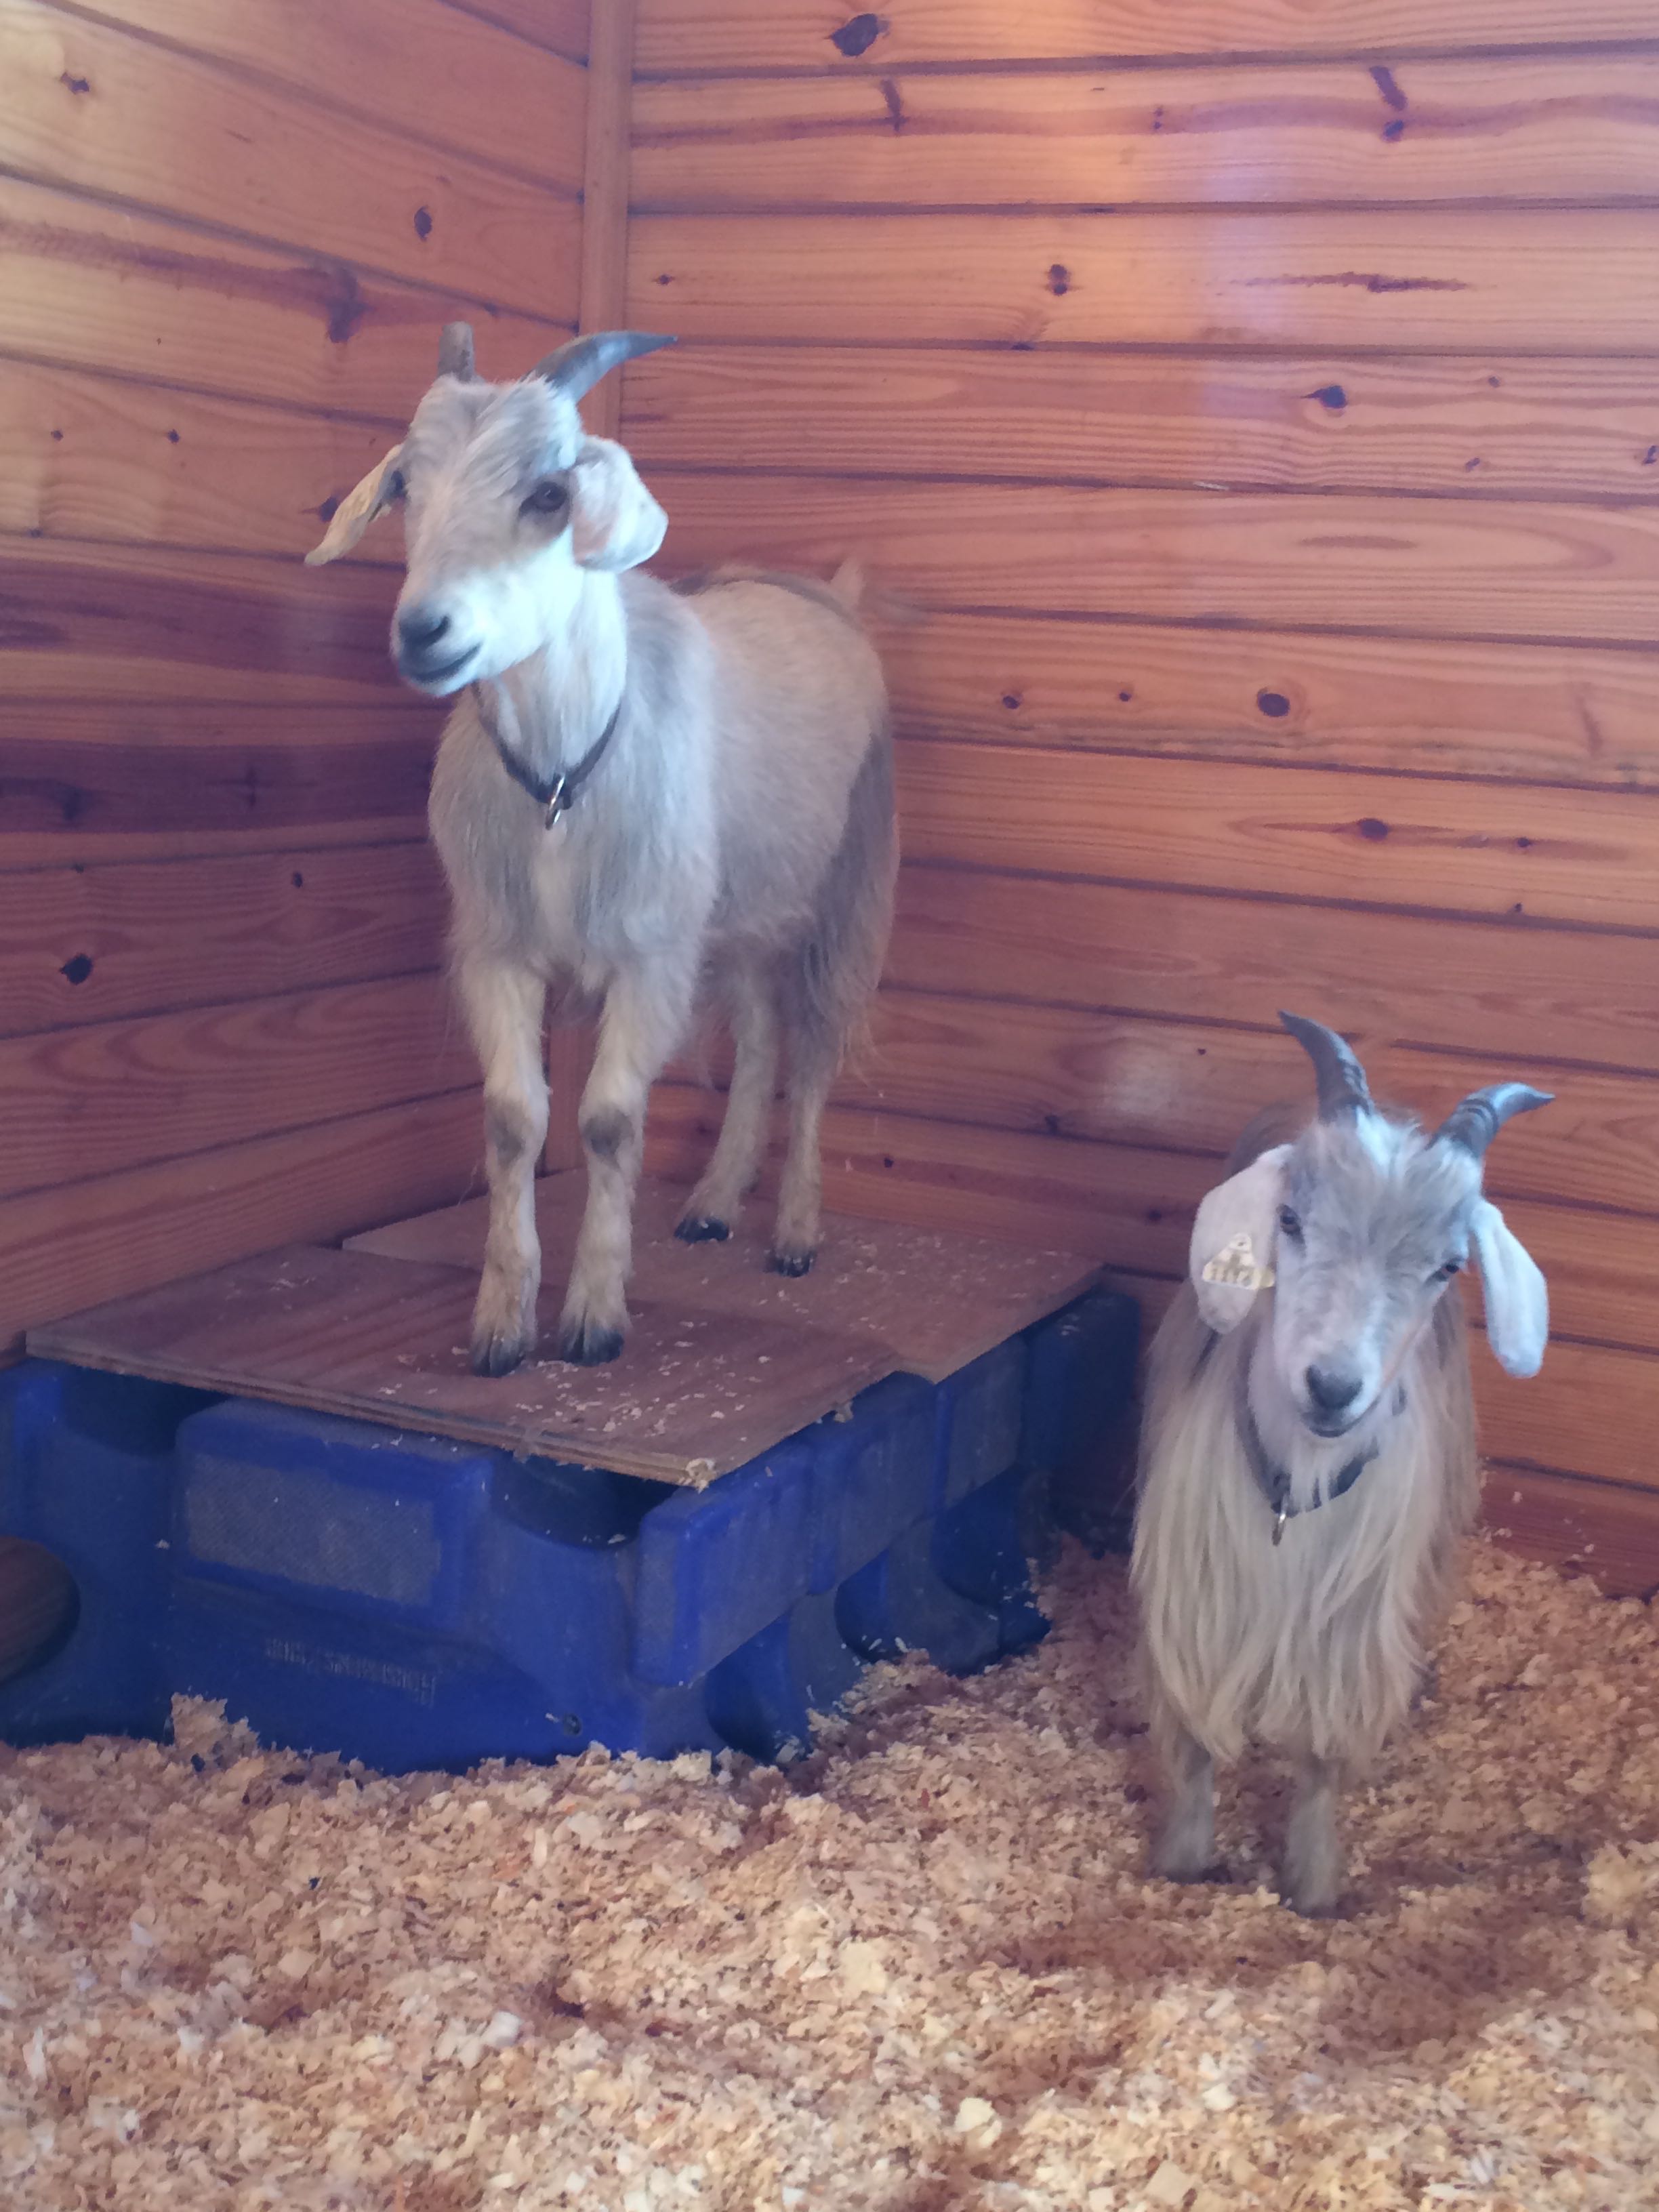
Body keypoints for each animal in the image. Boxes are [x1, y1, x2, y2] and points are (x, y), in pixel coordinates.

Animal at [307, 324, 895, 1372]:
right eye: (407, 485)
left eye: (550, 494)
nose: (426, 632)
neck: (560, 783)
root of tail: (825, 594)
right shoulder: (499, 951)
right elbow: (514, 1121)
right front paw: (502, 1324)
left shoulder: (647, 956)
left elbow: (611, 1123)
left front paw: (593, 1318)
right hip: (733, 913)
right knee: (758, 1035)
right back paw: (712, 1203)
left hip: (844, 890)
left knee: (817, 1046)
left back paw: (795, 1233)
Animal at [1130, 1012, 1551, 1915]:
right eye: (1290, 1220)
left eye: (1448, 1265)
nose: (1332, 1386)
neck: (1295, 1494)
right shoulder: (1195, 1591)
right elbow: (1194, 1735)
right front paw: (1183, 1862)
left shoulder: (1350, 1623)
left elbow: (1323, 1751)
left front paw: (1315, 1886)